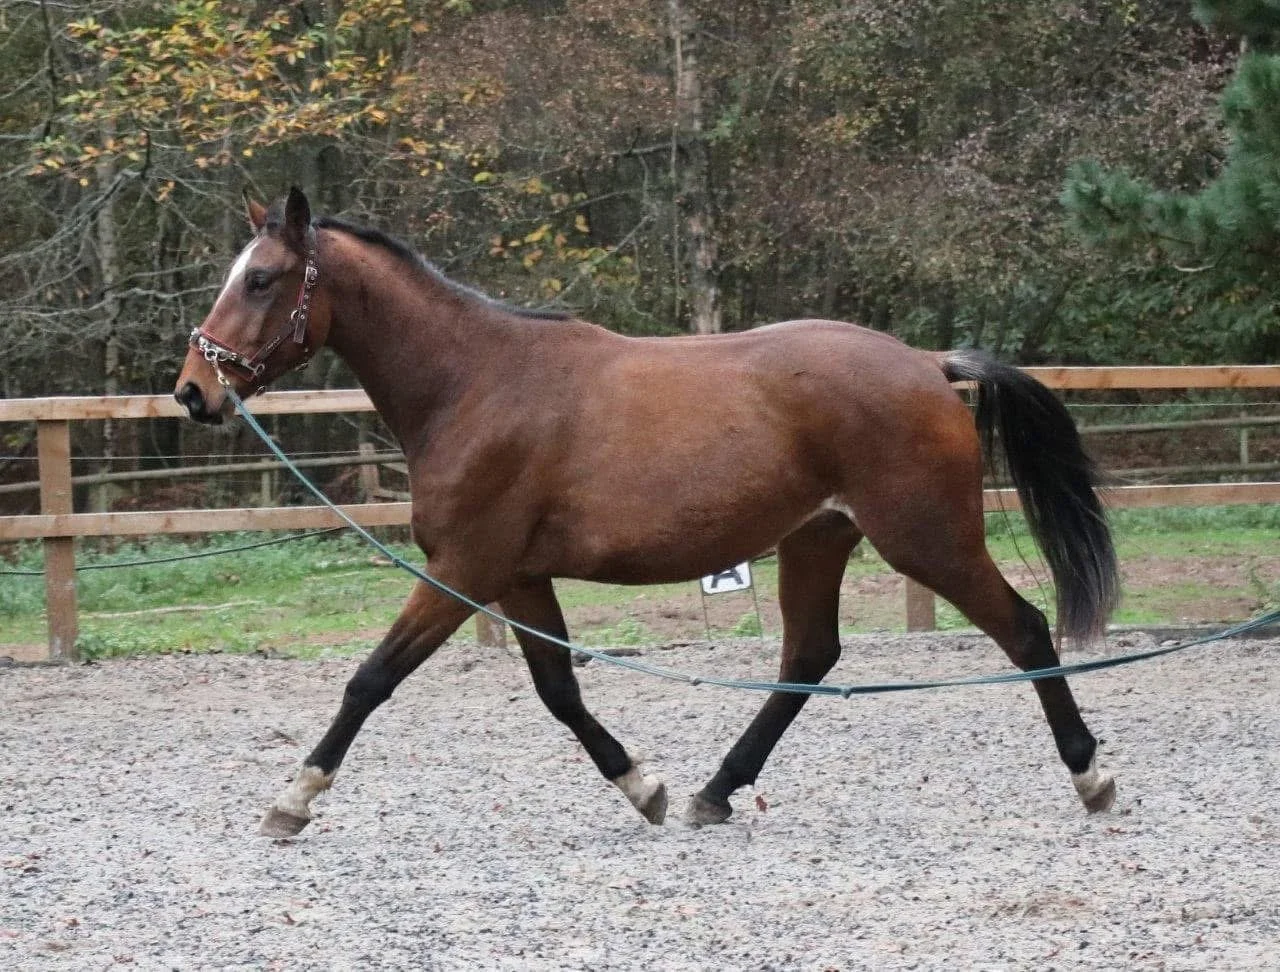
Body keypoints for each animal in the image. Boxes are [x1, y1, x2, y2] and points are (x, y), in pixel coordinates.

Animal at [174, 187, 1120, 837]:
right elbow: (559, 691)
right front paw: (647, 788)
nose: (192, 392)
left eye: (261, 279)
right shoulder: (517, 576)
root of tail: (927, 365)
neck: (473, 384)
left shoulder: (463, 569)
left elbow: (371, 679)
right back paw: (714, 791)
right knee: (809, 657)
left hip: (928, 539)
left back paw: (1091, 778)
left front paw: (292, 799)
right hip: (818, 539)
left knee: (1025, 629)